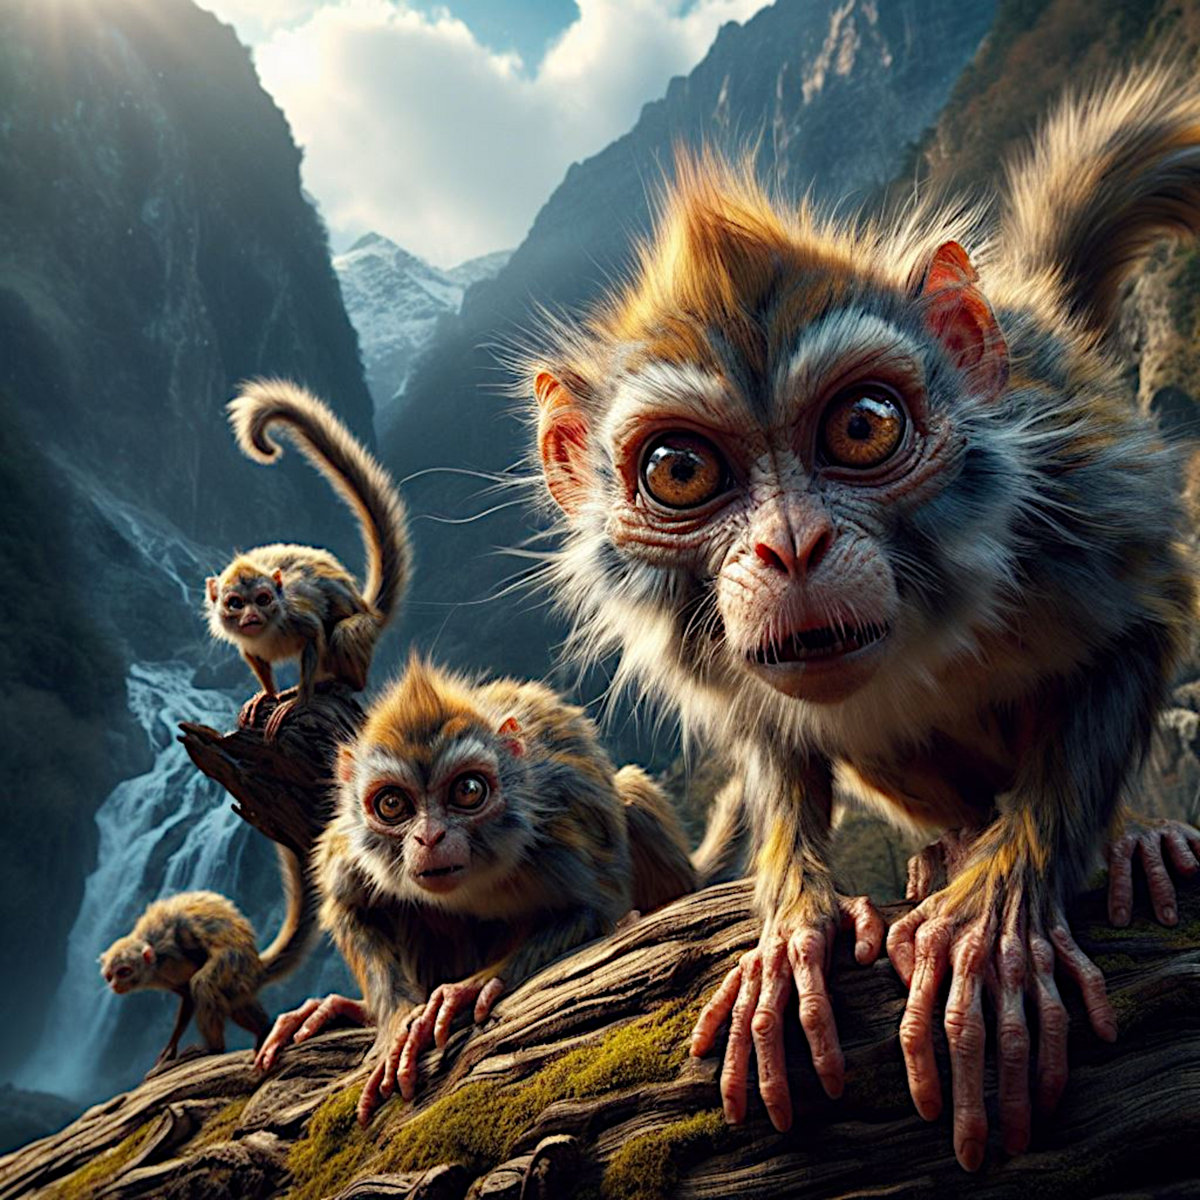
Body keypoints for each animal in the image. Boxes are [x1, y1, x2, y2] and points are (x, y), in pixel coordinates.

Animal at [99, 846, 318, 1067]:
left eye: (124, 972)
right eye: (110, 976)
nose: (114, 985)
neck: (155, 962)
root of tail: (255, 963)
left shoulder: (171, 947)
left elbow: (193, 960)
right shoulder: (165, 976)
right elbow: (187, 995)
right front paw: (171, 1047)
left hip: (235, 964)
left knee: (203, 983)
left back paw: (215, 1048)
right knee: (235, 1004)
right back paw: (265, 1031)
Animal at [206, 379, 409, 739]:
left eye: (262, 599)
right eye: (235, 603)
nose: (252, 616)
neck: (268, 630)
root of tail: (368, 609)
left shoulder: (296, 618)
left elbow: (316, 632)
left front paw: (296, 701)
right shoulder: (245, 640)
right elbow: (252, 655)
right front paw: (267, 695)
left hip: (360, 631)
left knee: (343, 634)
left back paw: (337, 685)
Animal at [253, 654, 696, 1124]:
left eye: (468, 791)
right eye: (392, 804)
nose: (429, 837)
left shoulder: (563, 824)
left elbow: (598, 907)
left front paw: (465, 990)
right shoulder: (353, 848)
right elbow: (347, 904)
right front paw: (396, 1025)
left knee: (632, 796)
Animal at [523, 66, 1200, 1171]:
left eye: (864, 426)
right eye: (680, 471)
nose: (792, 547)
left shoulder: (1081, 487)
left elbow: (1141, 624)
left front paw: (995, 920)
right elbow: (772, 734)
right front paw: (788, 932)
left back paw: (1116, 841)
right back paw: (947, 845)